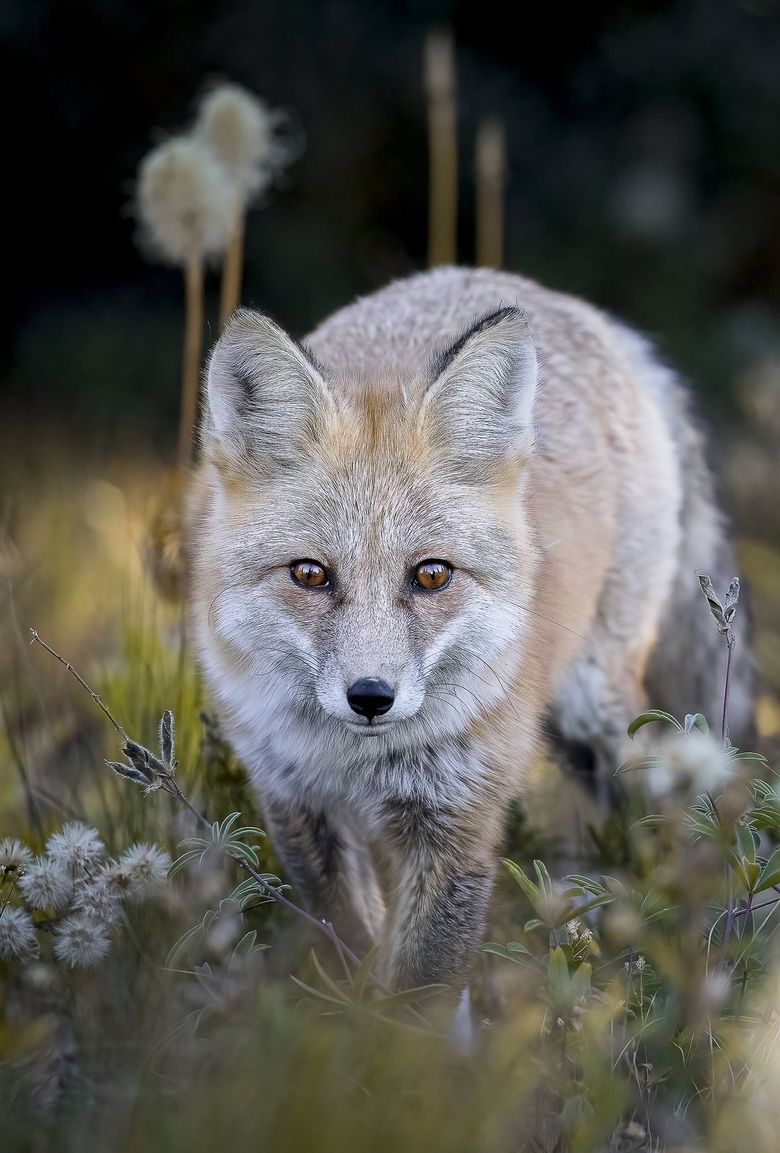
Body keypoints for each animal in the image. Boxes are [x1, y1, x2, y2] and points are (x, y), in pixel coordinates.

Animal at [188, 266, 753, 994]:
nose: (371, 696)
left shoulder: (459, 810)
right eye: (310, 574)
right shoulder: (292, 795)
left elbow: (423, 982)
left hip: (599, 711)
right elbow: (350, 942)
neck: (359, 761)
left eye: (431, 575)